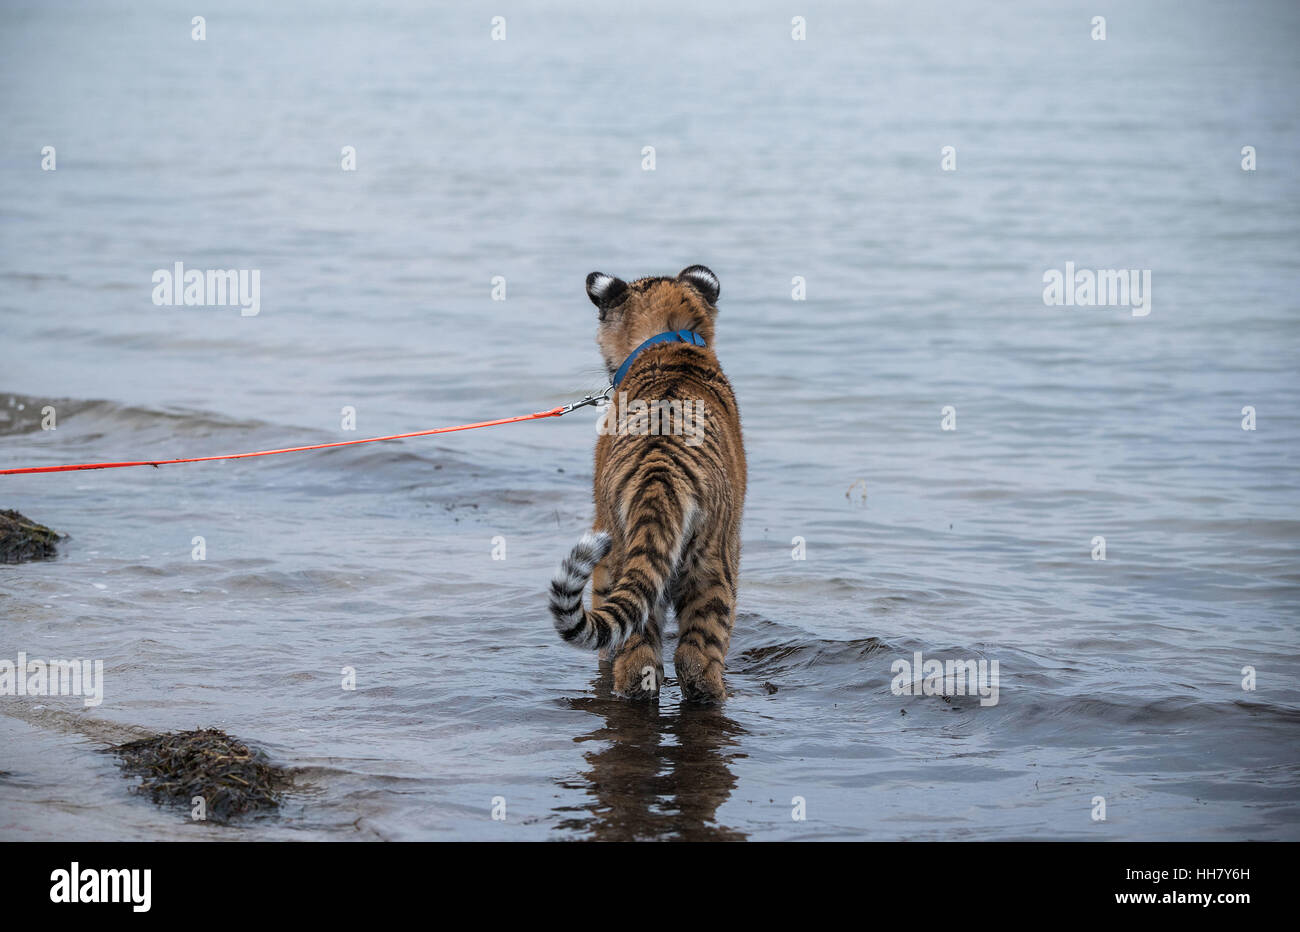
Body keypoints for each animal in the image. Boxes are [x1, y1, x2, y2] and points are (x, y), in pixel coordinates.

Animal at [548, 265, 746, 702]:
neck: (671, 337)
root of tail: (661, 477)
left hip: (628, 559)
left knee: (642, 663)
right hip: (711, 569)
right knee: (692, 662)